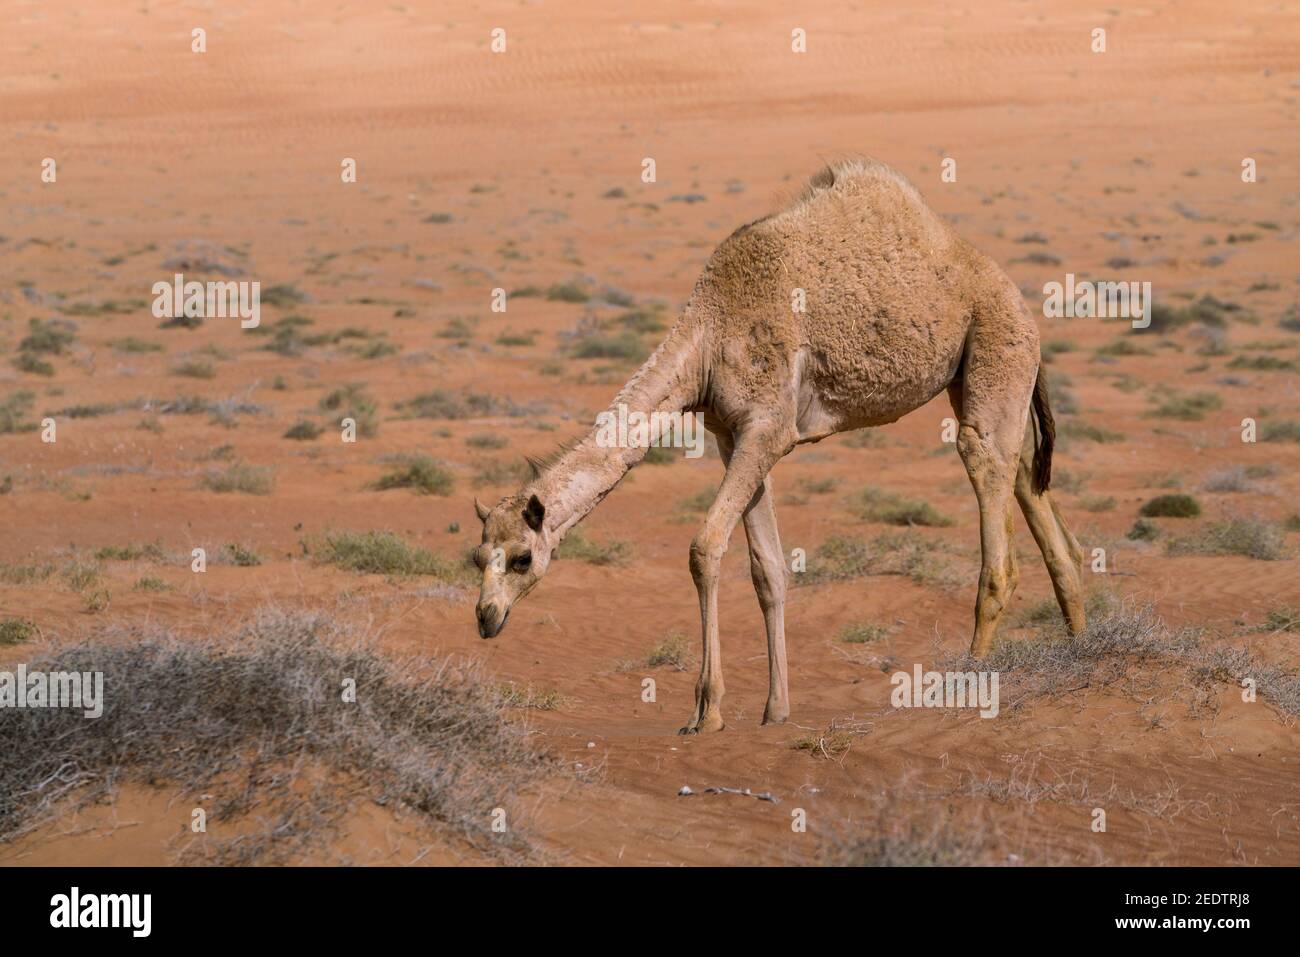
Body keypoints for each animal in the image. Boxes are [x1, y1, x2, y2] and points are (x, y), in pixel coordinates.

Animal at [473, 157, 1086, 734]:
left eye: (523, 557)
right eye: (478, 556)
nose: (484, 617)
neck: (707, 342)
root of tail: (1014, 295)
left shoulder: (767, 428)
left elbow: (704, 547)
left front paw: (707, 712)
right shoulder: (733, 436)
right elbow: (768, 570)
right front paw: (776, 711)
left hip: (997, 342)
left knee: (992, 509)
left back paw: (967, 682)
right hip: (985, 378)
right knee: (1028, 480)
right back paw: (1082, 649)